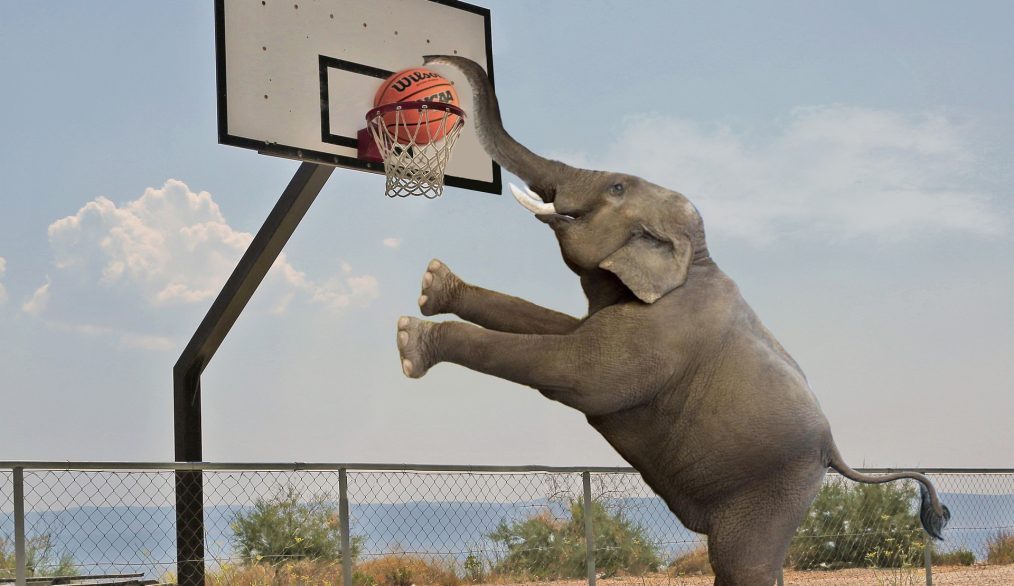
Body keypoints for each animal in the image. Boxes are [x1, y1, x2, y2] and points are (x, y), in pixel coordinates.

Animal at [395, 56, 949, 586]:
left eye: (616, 187)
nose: (436, 61)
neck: (695, 259)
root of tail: (835, 451)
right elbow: (558, 327)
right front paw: (433, 284)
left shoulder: (663, 335)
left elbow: (575, 374)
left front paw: (410, 337)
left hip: (777, 486)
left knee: (739, 563)